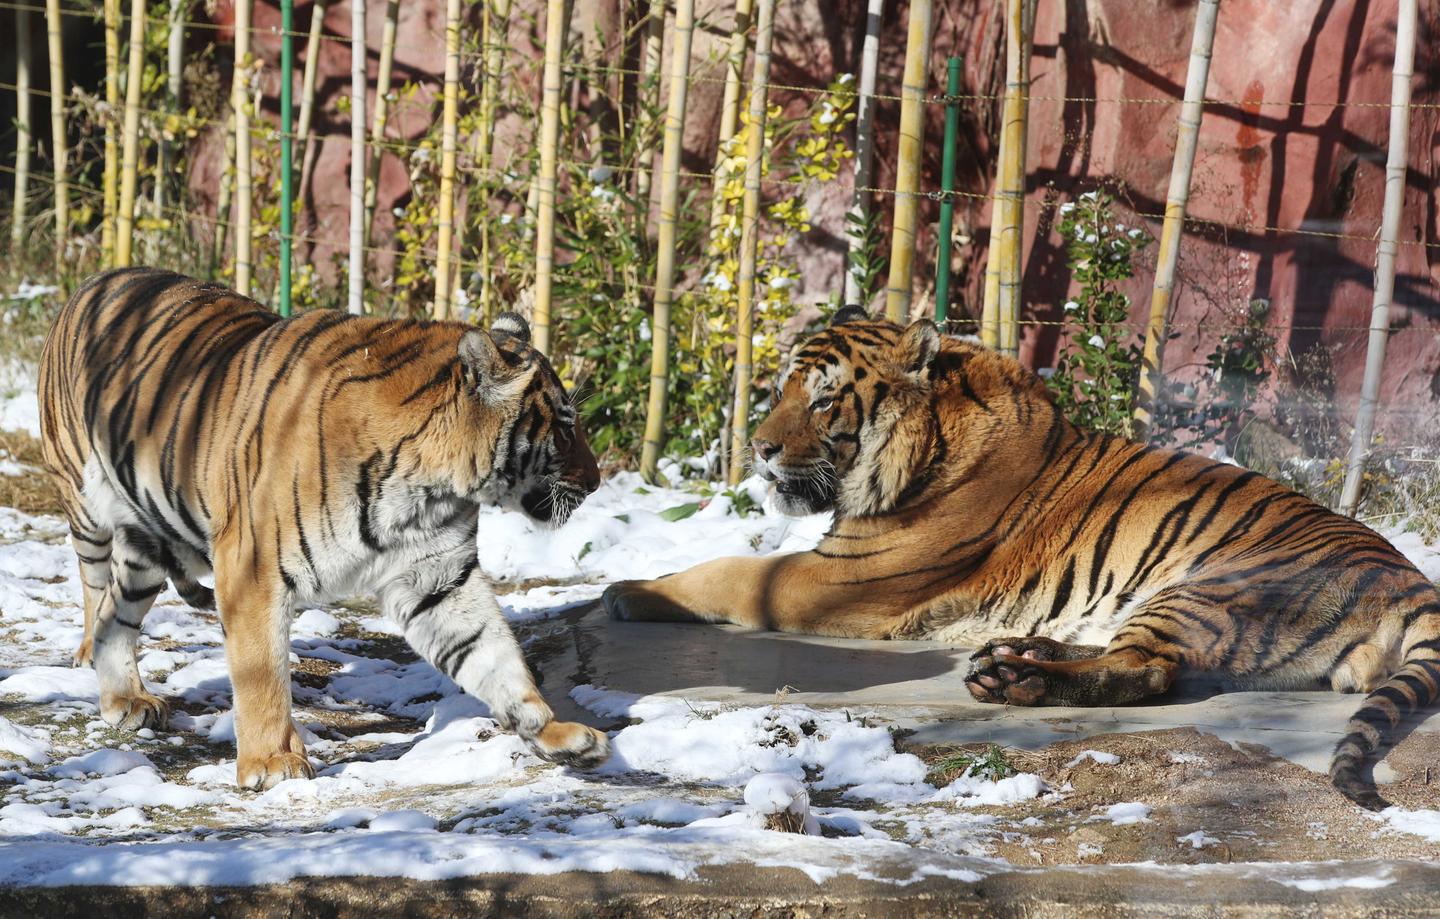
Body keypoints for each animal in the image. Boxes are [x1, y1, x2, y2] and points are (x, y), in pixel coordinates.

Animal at [39, 267, 609, 789]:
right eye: (564, 429)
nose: (598, 481)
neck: (429, 485)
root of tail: (96, 279)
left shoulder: (437, 578)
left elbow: (492, 652)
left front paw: (553, 731)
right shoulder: (251, 570)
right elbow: (262, 674)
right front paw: (272, 764)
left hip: (152, 536)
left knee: (116, 615)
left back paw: (125, 699)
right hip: (87, 507)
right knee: (96, 591)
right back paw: (97, 666)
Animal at [605, 306, 1440, 809]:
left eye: (821, 398)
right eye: (781, 390)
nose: (760, 447)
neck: (930, 441)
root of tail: (1411, 578)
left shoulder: (840, 577)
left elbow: (731, 570)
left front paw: (624, 588)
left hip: (1209, 584)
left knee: (1148, 669)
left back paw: (1013, 678)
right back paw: (1012, 653)